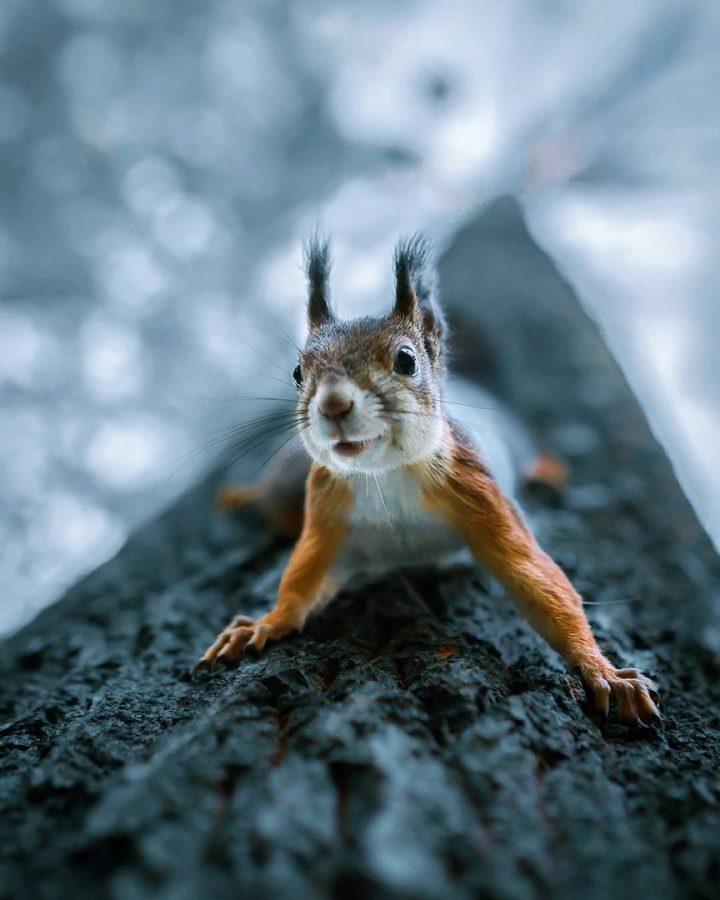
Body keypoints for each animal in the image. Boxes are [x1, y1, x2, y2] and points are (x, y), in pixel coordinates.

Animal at [196, 235, 660, 725]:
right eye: (297, 373)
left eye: (406, 360)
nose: (334, 406)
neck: (384, 474)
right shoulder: (325, 518)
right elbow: (303, 579)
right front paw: (264, 623)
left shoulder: (479, 492)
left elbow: (538, 580)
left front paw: (603, 671)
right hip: (289, 493)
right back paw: (244, 496)